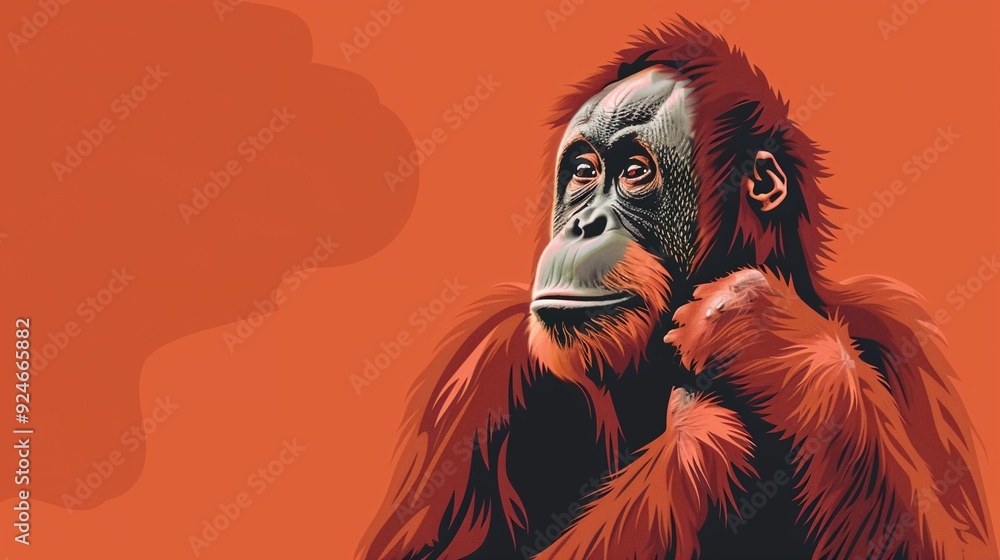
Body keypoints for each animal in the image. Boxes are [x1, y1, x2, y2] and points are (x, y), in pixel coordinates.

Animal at [357, 20, 995, 560]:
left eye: (635, 172)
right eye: (584, 173)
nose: (583, 224)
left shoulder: (897, 331)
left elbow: (954, 543)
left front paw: (770, 339)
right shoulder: (484, 366)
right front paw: (703, 428)